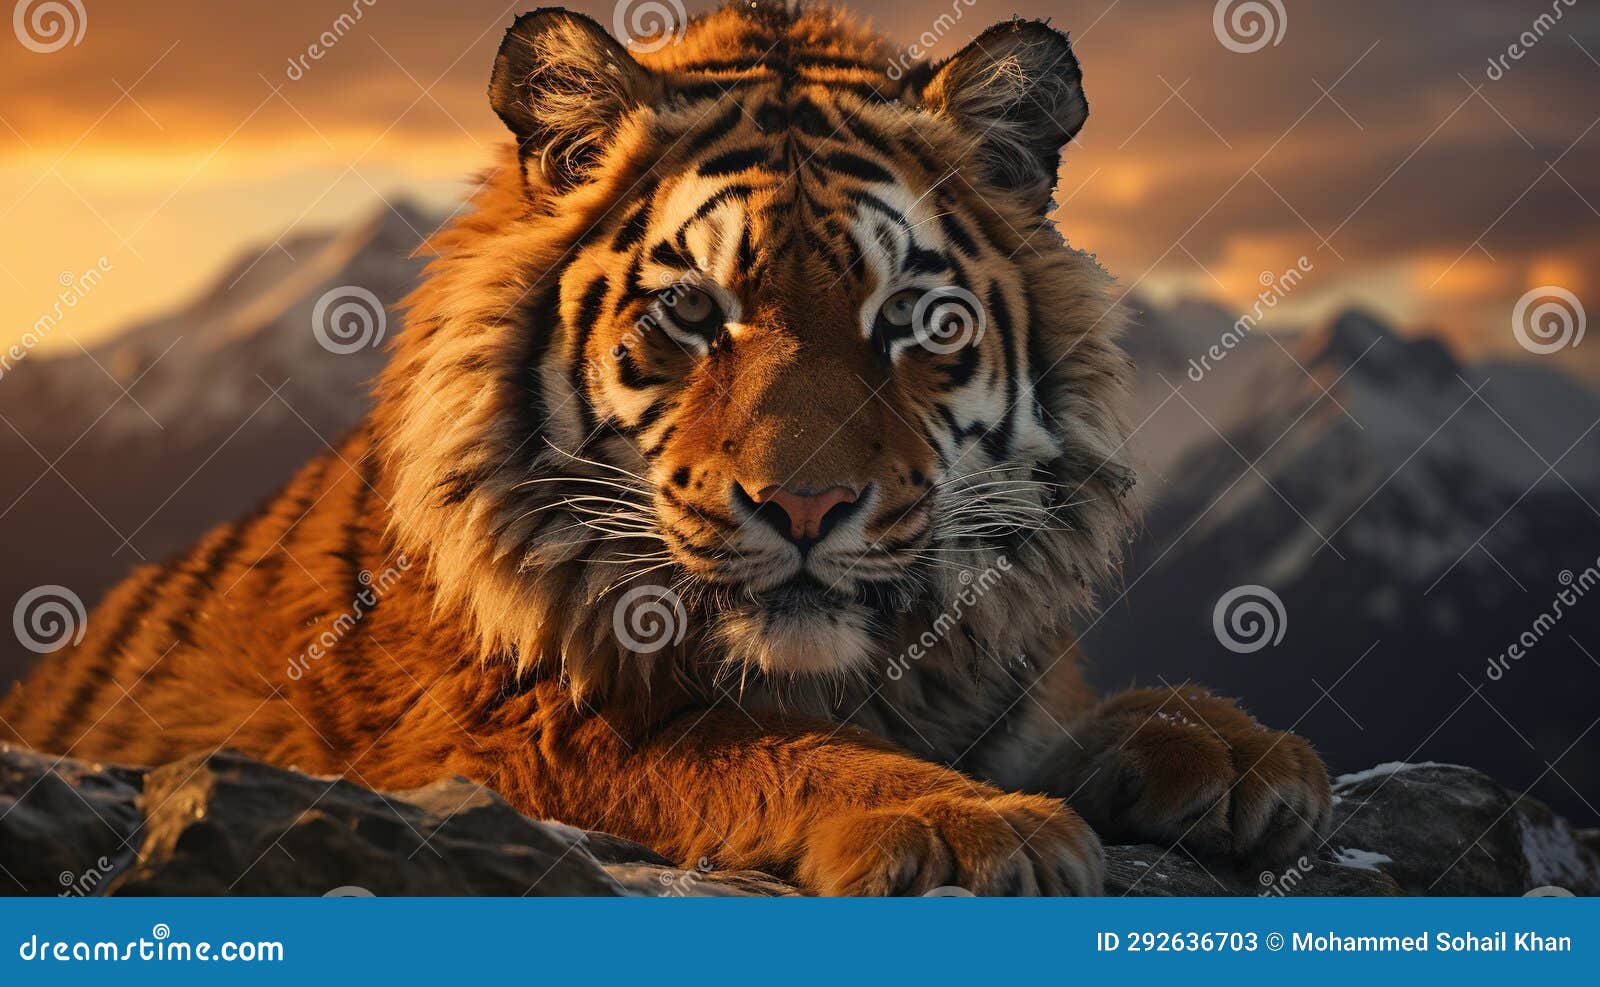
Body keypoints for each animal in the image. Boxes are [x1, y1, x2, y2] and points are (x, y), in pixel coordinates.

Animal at [2, 1, 1332, 895]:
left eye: (914, 320)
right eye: (691, 312)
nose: (807, 507)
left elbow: (1055, 708)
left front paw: (1232, 751)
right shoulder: (494, 739)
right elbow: (756, 750)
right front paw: (977, 828)